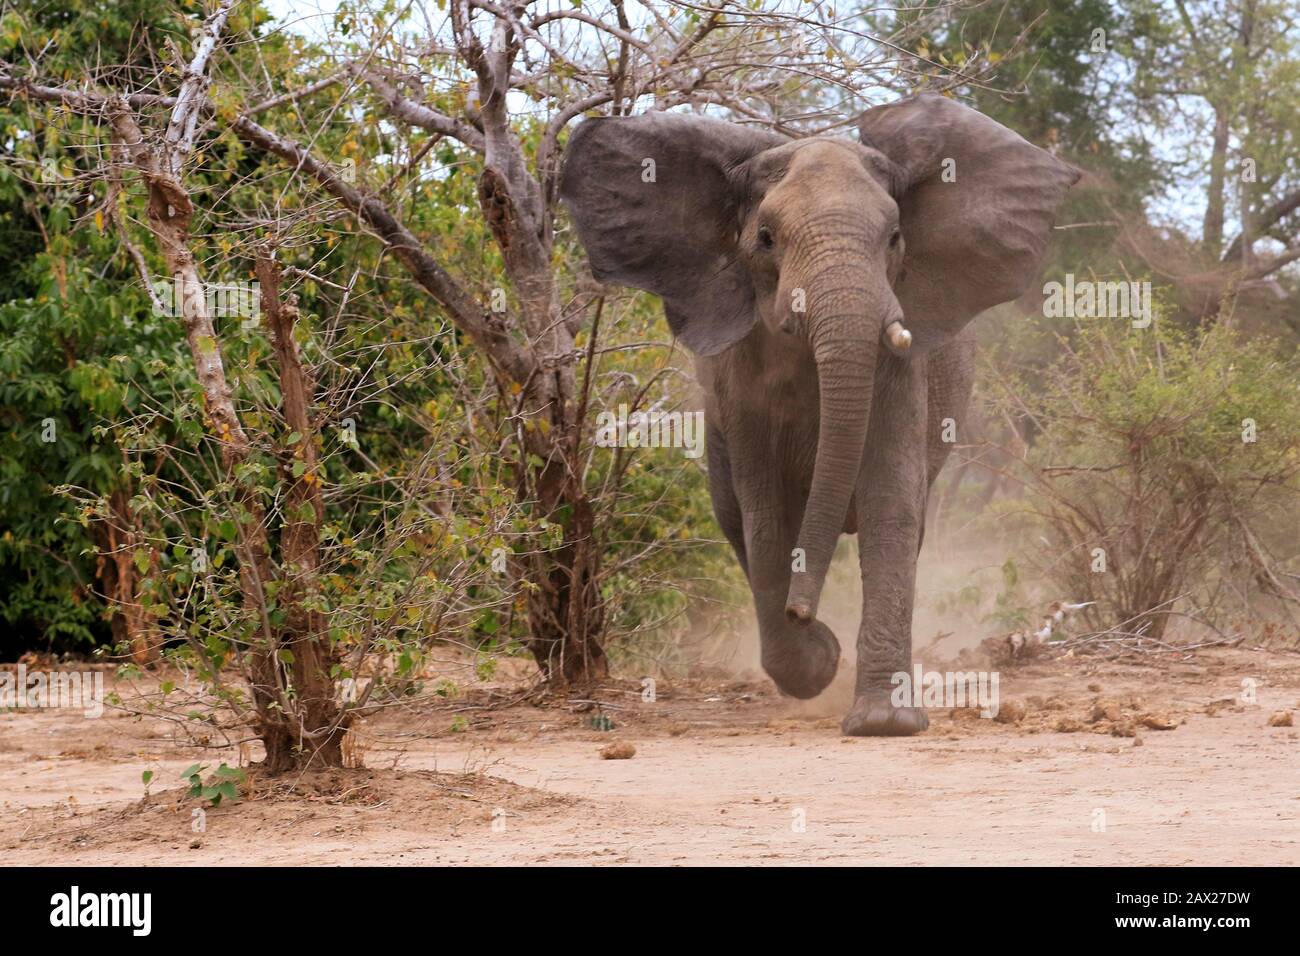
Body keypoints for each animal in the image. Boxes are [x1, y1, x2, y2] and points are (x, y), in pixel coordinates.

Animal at [559, 94, 1080, 735]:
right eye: (765, 238)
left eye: (895, 237)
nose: (802, 612)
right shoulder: (740, 377)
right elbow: (765, 516)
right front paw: (818, 664)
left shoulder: (902, 367)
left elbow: (891, 504)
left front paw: (884, 722)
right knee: (733, 518)